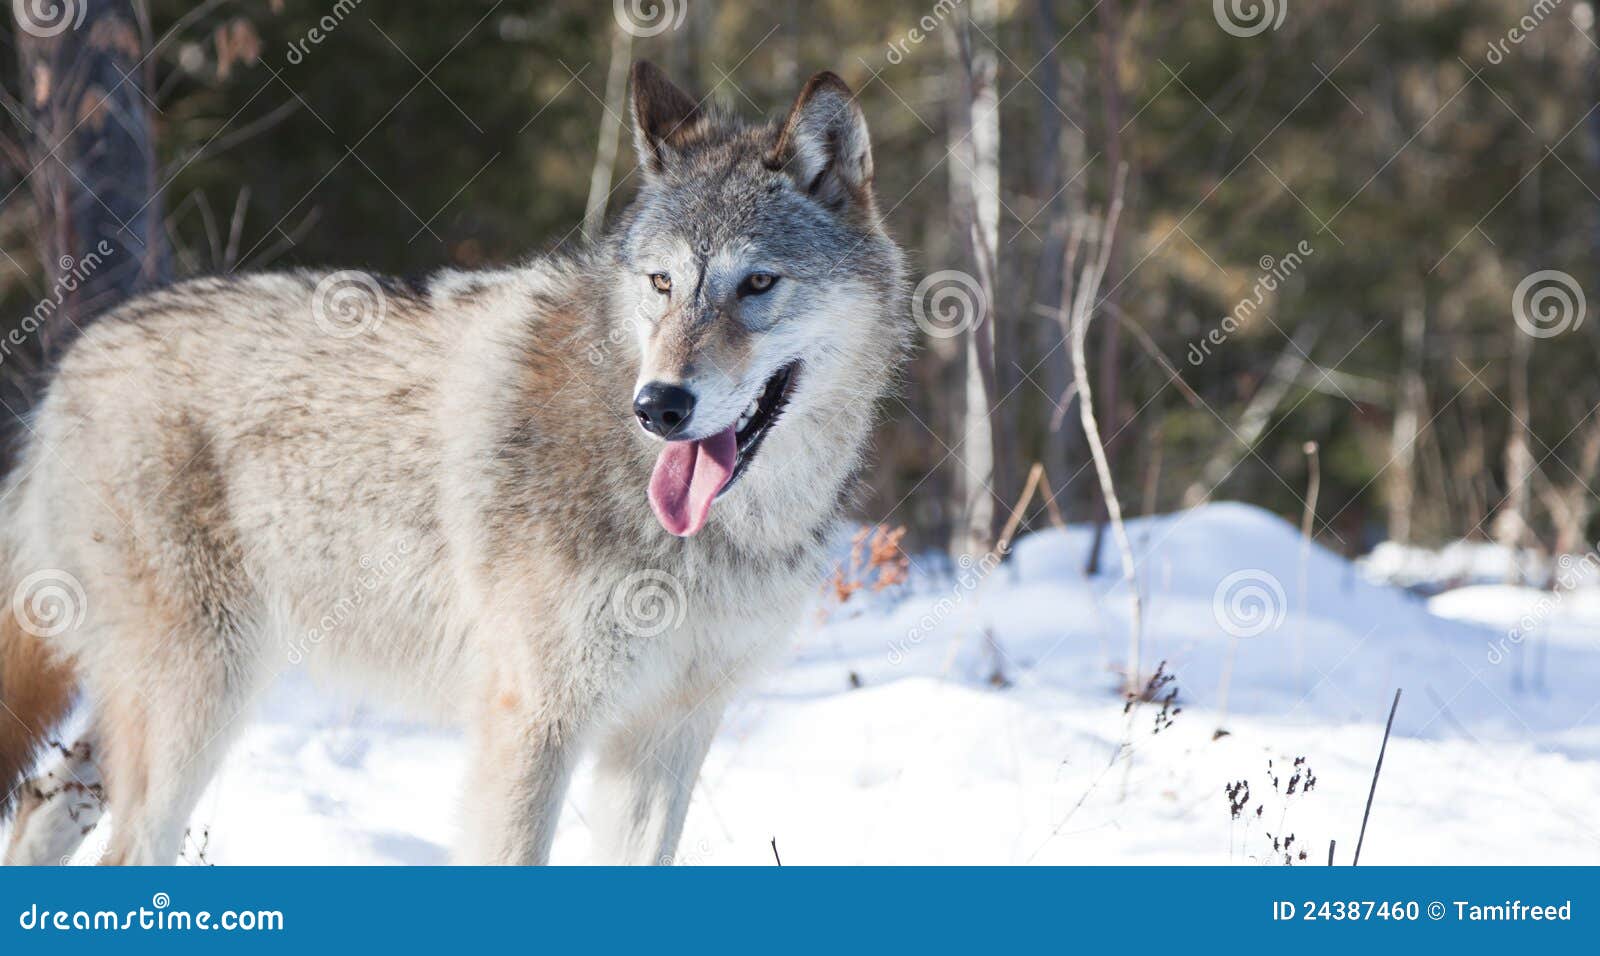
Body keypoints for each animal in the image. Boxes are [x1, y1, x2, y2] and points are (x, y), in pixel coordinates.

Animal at [0, 61, 907, 865]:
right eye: (660, 282)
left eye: (757, 283)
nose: (659, 405)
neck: (717, 534)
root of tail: (74, 363)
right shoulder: (532, 722)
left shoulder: (667, 733)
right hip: (199, 700)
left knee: (42, 808)